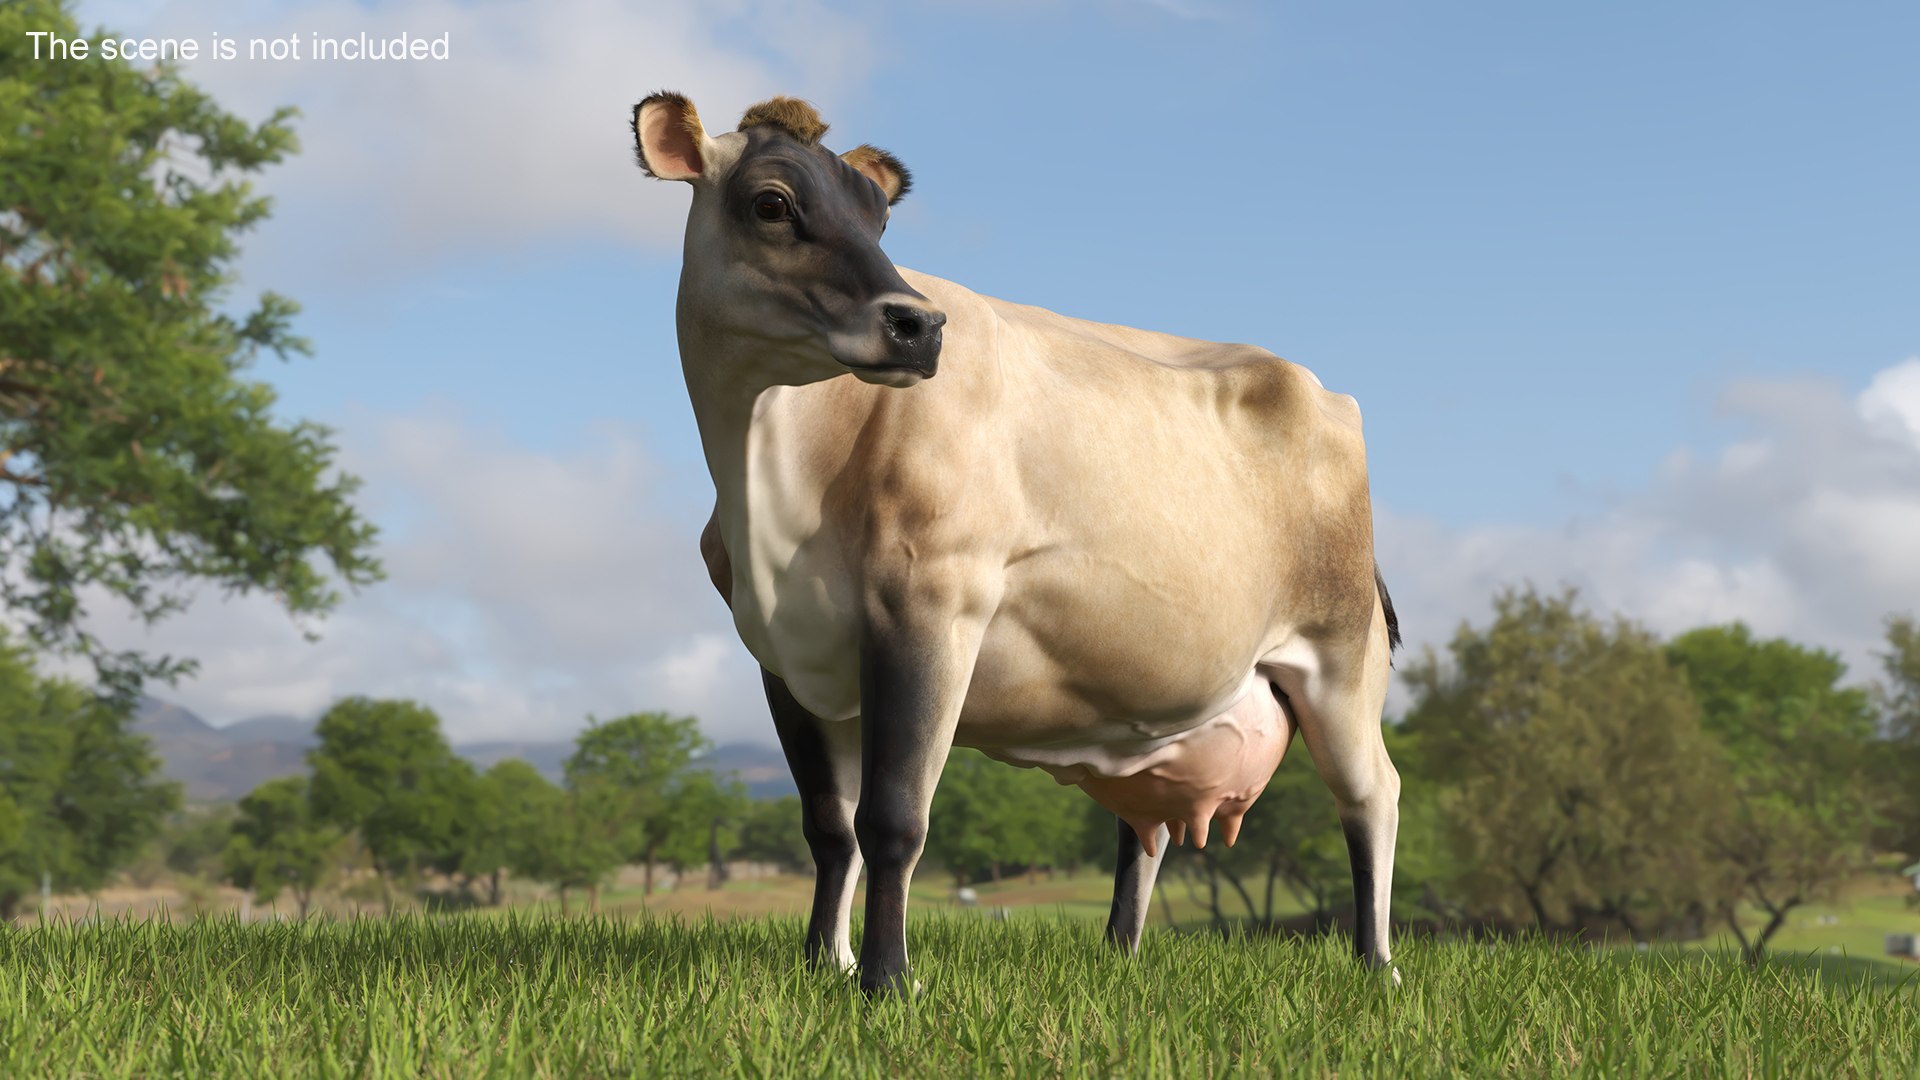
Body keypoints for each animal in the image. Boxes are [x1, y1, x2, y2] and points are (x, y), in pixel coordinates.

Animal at [632, 92, 1402, 996]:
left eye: (879, 217)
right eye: (772, 204)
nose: (919, 327)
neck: (771, 480)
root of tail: (1314, 384)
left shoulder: (932, 605)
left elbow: (894, 820)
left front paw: (887, 980)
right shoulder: (784, 655)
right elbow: (830, 829)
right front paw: (826, 963)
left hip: (1340, 654)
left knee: (1372, 798)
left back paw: (1377, 964)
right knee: (1145, 833)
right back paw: (1121, 953)